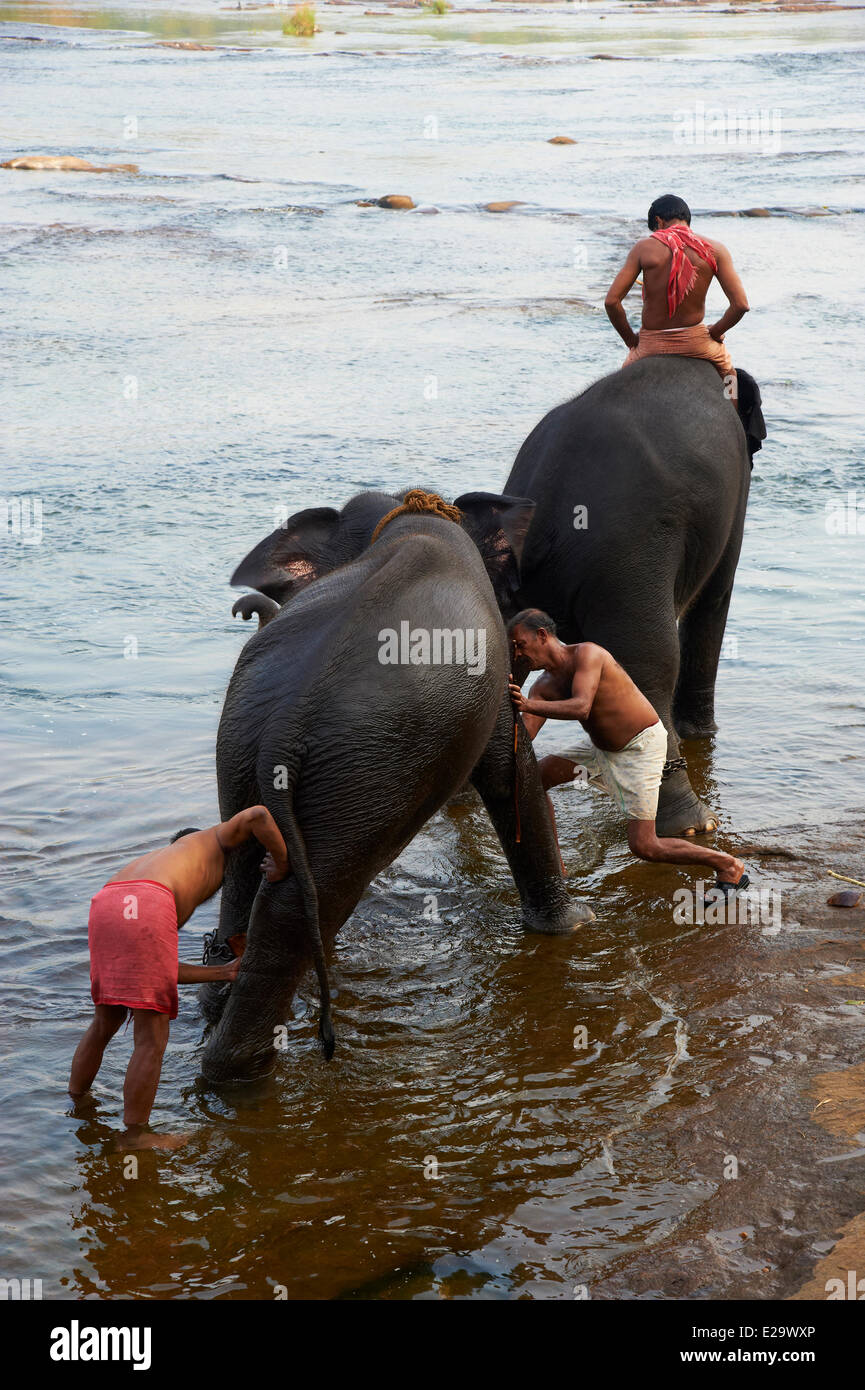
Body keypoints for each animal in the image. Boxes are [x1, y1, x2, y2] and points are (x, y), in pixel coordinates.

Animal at [201, 491, 591, 1084]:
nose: (246, 611)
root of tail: (289, 719)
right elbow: (510, 772)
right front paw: (574, 926)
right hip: (364, 769)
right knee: (310, 897)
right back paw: (243, 1072)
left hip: (246, 741)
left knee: (244, 862)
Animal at [503, 356, 752, 836]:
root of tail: (546, 510)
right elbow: (715, 598)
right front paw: (702, 733)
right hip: (626, 567)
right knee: (650, 662)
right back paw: (694, 826)